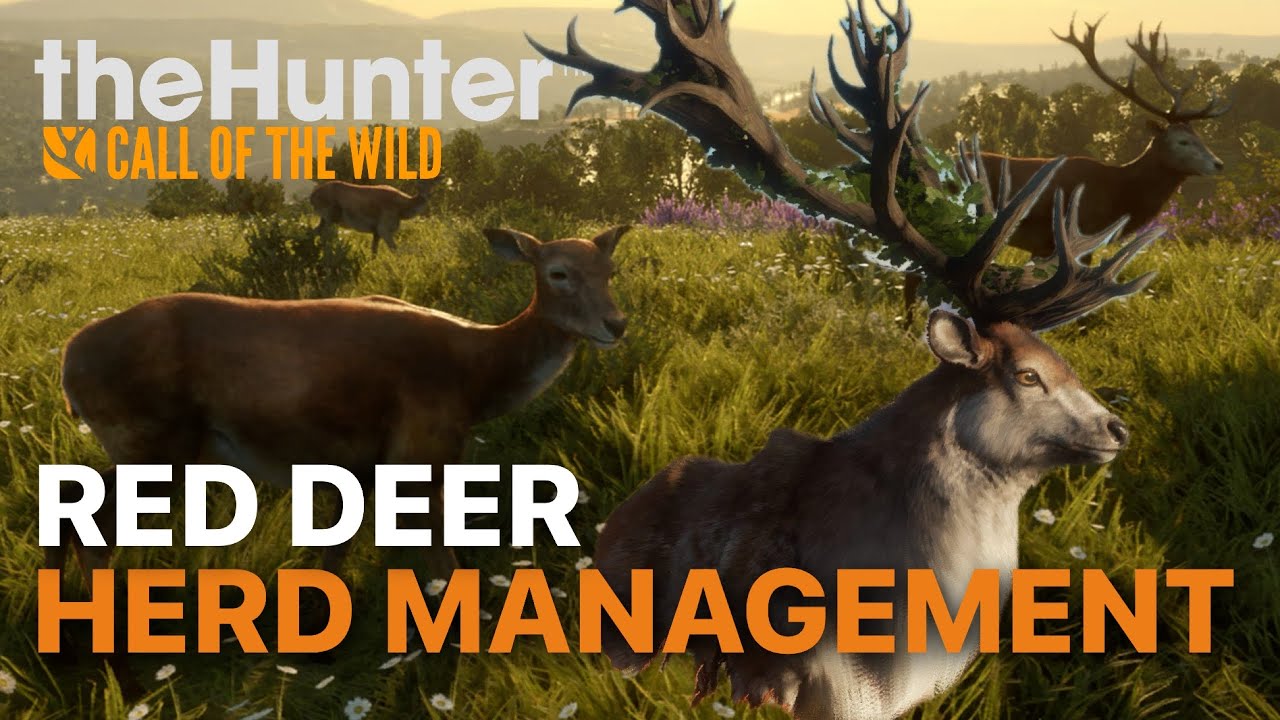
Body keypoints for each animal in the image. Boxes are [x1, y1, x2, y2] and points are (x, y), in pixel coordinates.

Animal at [48, 224, 630, 620]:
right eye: (558, 273)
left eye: (610, 272)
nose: (616, 324)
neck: (477, 374)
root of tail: (69, 360)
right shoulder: (421, 452)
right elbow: (443, 562)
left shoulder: (369, 464)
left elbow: (337, 548)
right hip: (152, 444)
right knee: (89, 528)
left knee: (67, 507)